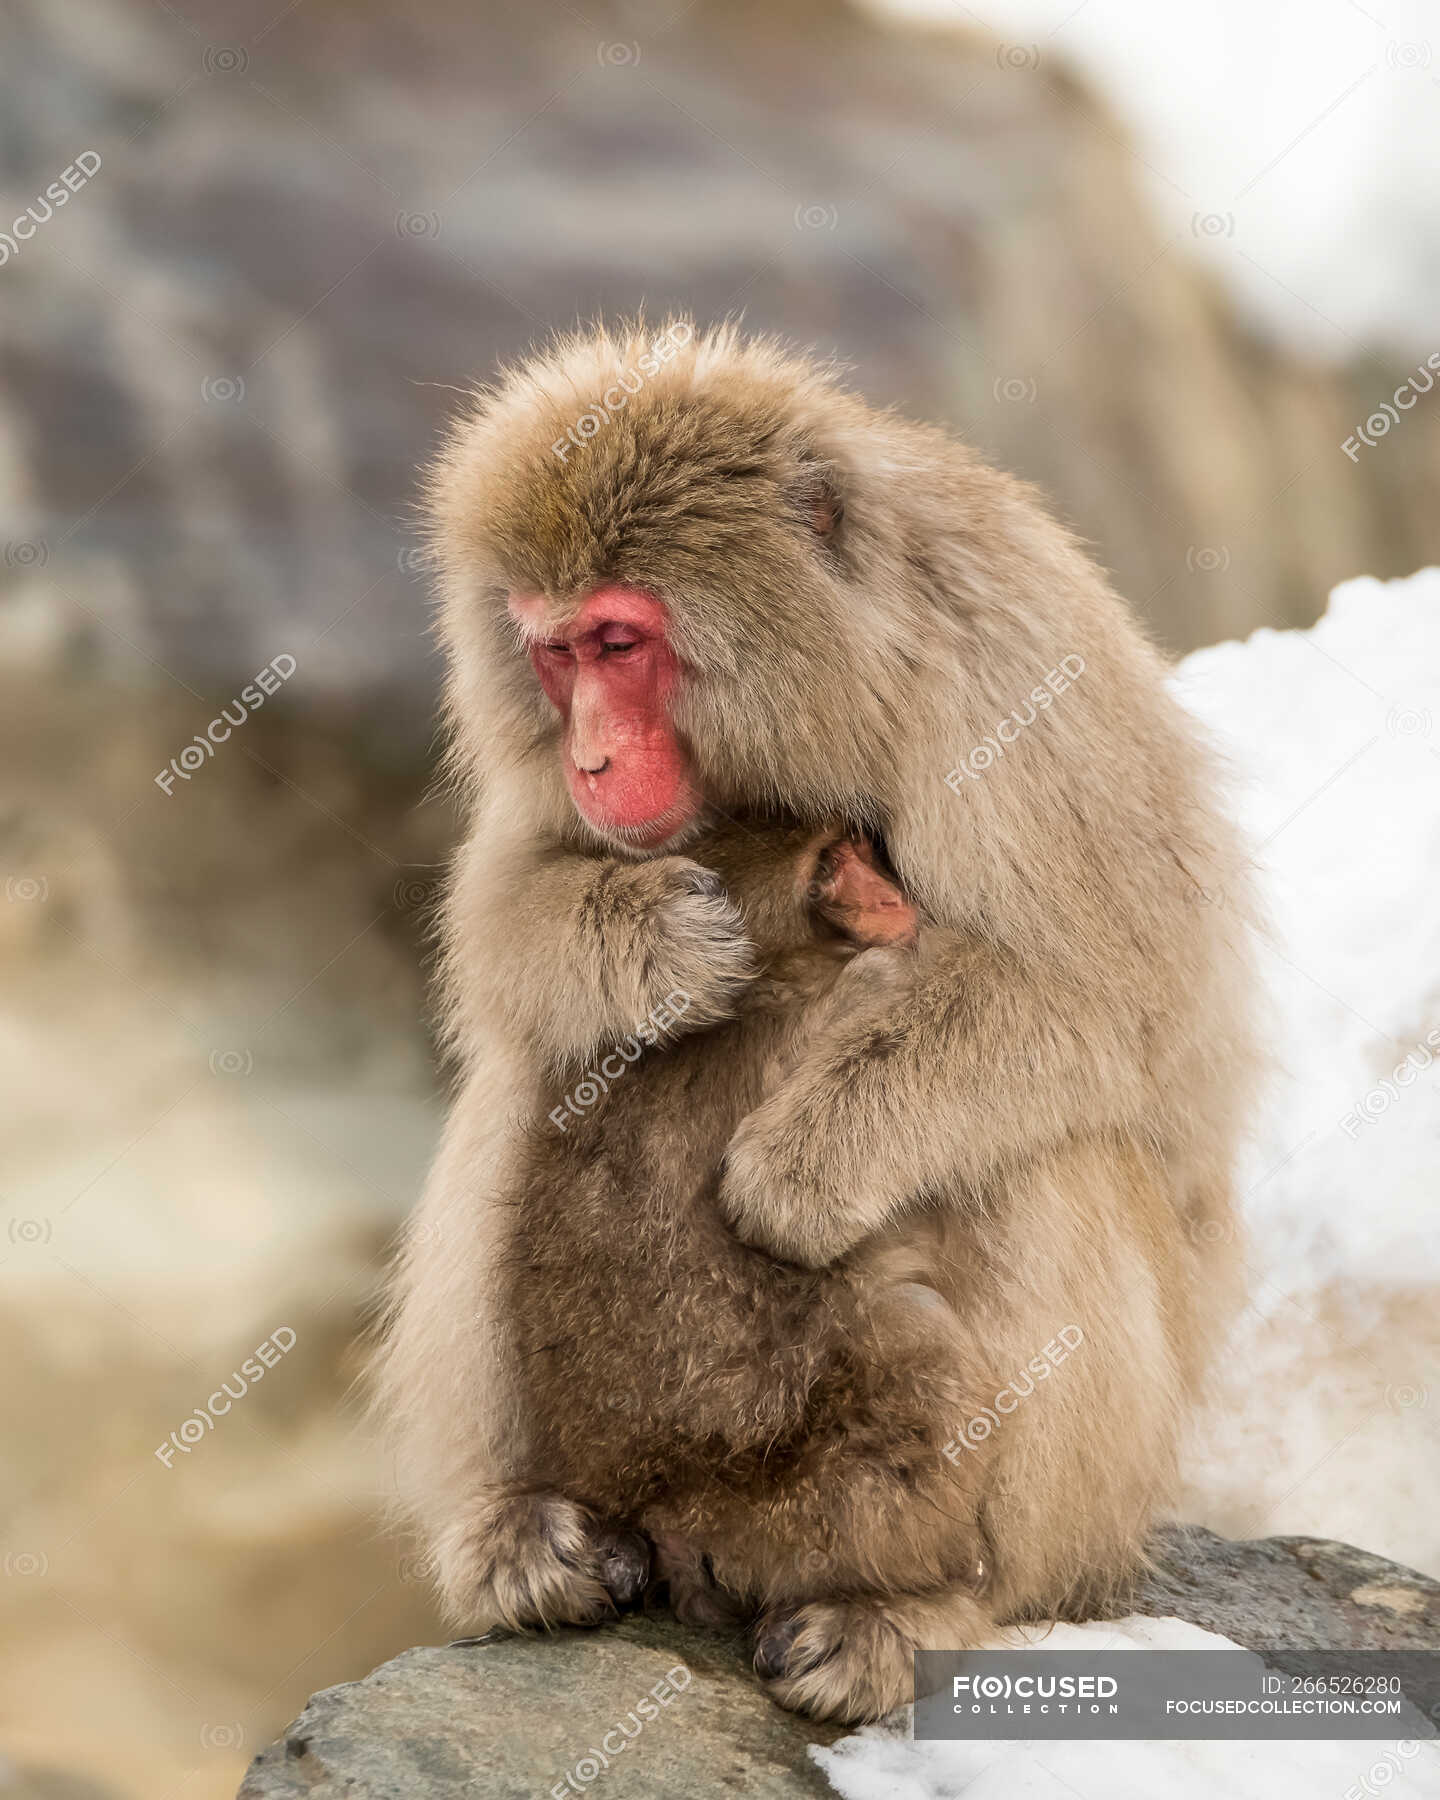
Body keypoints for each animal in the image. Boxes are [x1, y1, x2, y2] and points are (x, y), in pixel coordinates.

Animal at [373, 319, 1258, 1724]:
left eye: (621, 642)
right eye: (554, 652)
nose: (592, 758)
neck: (841, 676)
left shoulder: (1006, 664)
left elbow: (1119, 999)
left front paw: (801, 1170)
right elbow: (504, 906)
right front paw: (658, 947)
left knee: (1045, 1157)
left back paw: (927, 1606)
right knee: (534, 1068)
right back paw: (526, 1534)